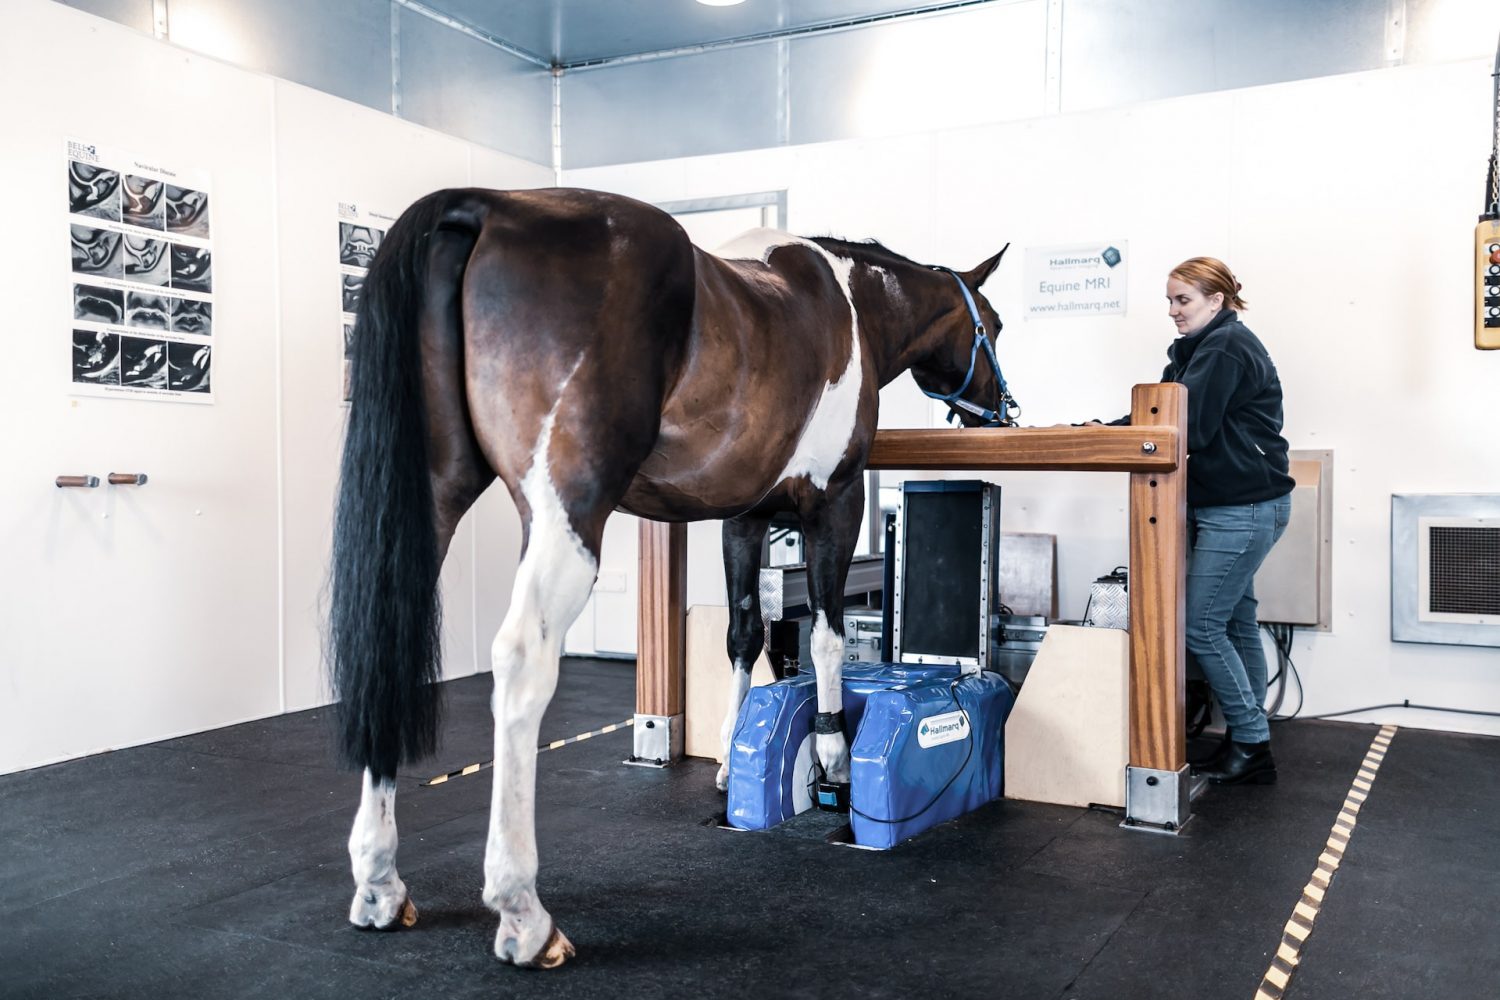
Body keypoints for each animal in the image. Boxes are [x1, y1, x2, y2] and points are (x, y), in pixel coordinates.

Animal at [329, 186, 1012, 969]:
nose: (1002, 411)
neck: (849, 303)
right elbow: (827, 637)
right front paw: (833, 753)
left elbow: (745, 635)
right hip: (567, 515)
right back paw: (522, 911)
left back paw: (380, 882)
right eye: (992, 325)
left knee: (386, 644)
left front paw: (728, 762)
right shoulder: (834, 504)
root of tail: (486, 207)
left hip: (428, 498)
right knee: (522, 663)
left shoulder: (744, 519)